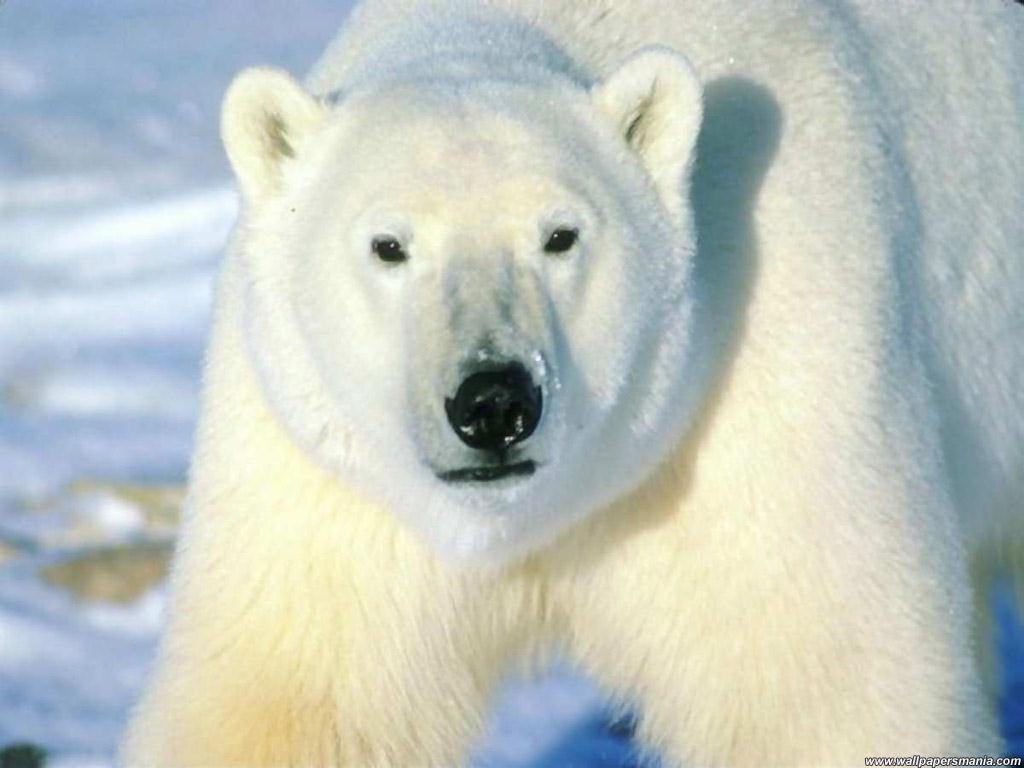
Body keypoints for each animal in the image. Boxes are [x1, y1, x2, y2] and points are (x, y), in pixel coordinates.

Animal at [122, 0, 1024, 765]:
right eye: (388, 245)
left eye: (560, 235)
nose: (493, 403)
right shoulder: (323, 478)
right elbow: (295, 700)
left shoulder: (769, 381)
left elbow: (821, 693)